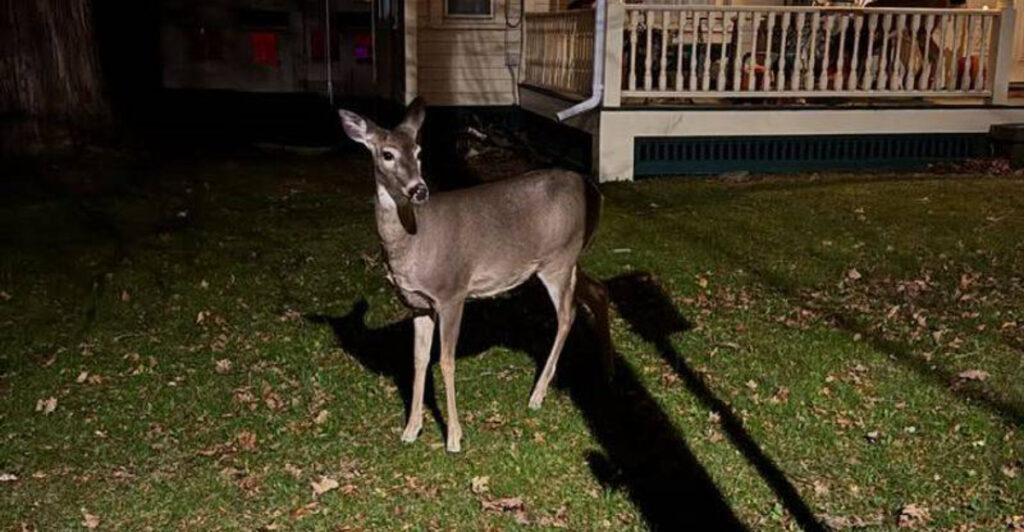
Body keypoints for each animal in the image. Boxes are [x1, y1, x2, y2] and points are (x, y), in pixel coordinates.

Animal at [338, 98, 612, 452]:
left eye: (419, 151)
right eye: (387, 154)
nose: (419, 189)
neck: (412, 242)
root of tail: (594, 190)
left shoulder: (452, 292)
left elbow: (446, 361)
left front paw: (454, 436)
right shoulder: (418, 304)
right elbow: (418, 360)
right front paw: (411, 429)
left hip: (559, 259)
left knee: (568, 313)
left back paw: (538, 394)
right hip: (567, 259)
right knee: (599, 290)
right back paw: (608, 371)